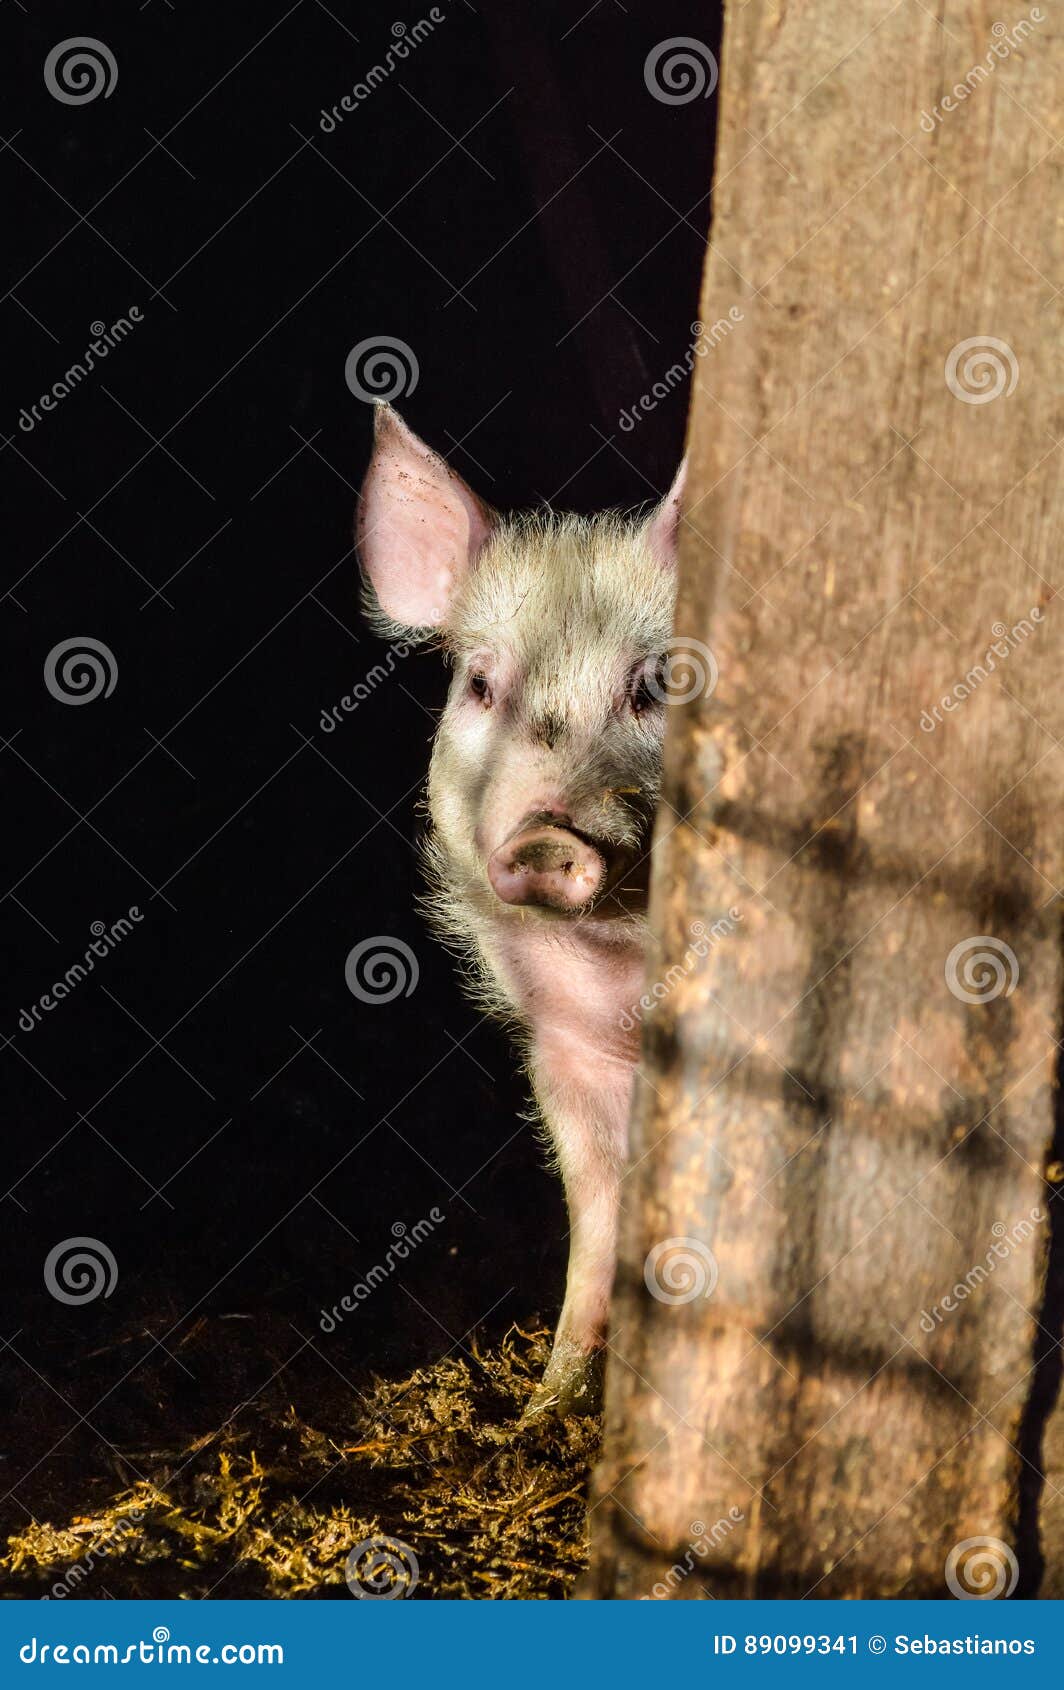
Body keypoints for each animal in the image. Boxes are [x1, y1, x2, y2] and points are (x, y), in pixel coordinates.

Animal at [357, 402, 686, 1416]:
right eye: (479, 686)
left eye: (659, 683)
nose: (548, 834)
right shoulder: (565, 1053)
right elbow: (597, 1218)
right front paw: (545, 1407)